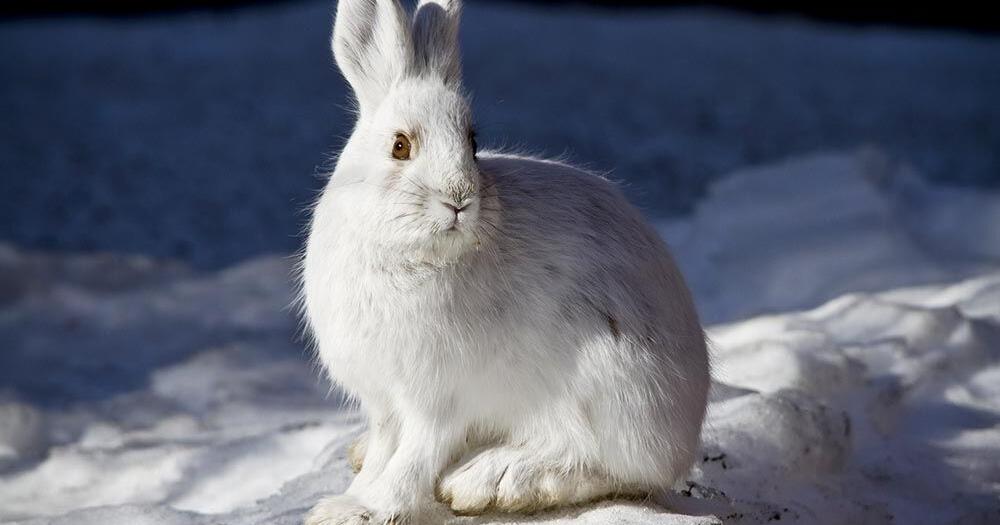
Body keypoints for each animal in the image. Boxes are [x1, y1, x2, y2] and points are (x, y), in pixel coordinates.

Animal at [301, 0, 710, 523]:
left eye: (473, 143)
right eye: (400, 146)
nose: (460, 198)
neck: (415, 256)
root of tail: (686, 427)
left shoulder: (438, 399)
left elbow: (413, 457)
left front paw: (368, 508)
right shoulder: (386, 402)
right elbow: (384, 450)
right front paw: (351, 498)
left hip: (607, 383)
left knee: (605, 466)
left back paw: (494, 480)